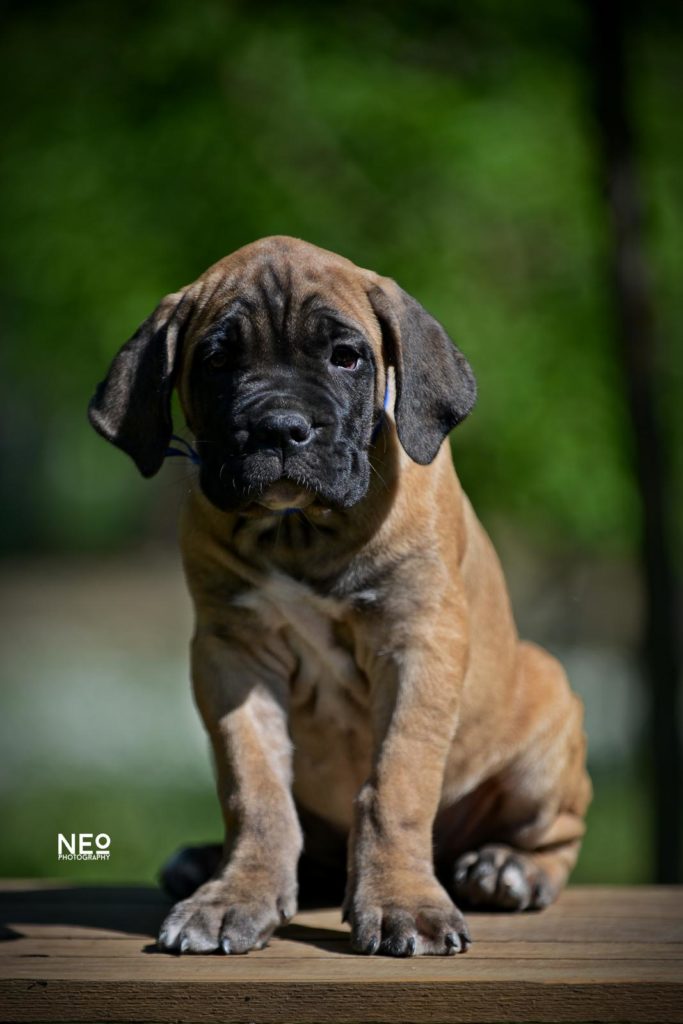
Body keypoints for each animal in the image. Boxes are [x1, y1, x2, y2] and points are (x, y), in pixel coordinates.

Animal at [89, 235, 593, 954]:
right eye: (216, 361)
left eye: (346, 356)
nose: (278, 428)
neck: (301, 531)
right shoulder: (232, 656)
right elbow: (254, 787)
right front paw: (235, 896)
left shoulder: (417, 646)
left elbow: (396, 784)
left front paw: (404, 903)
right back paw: (207, 860)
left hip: (547, 707)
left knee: (557, 831)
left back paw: (508, 869)